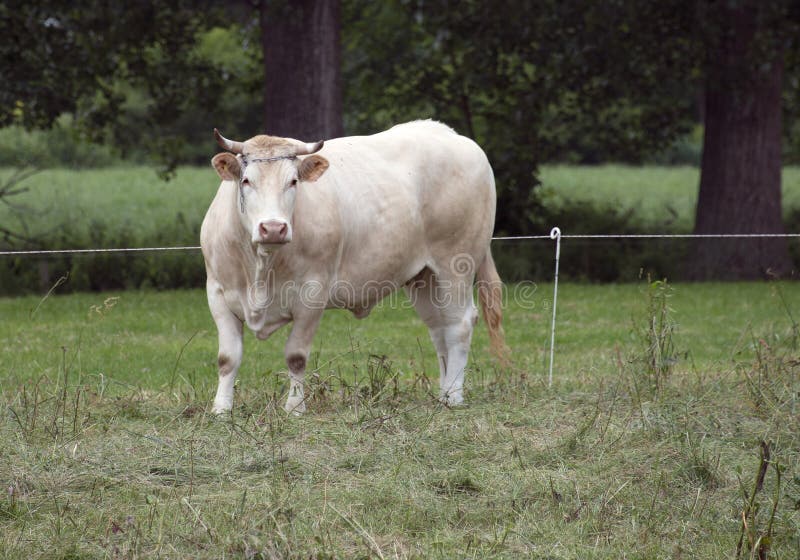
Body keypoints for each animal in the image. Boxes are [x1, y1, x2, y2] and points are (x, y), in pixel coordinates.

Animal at [201, 120, 508, 415]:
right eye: (246, 180)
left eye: (293, 181)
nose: (274, 228)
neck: (262, 266)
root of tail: (453, 136)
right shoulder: (216, 292)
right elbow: (228, 358)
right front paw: (221, 408)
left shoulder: (312, 294)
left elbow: (296, 356)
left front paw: (295, 407)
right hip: (424, 276)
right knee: (439, 327)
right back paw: (443, 394)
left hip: (457, 263)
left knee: (459, 324)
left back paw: (454, 395)